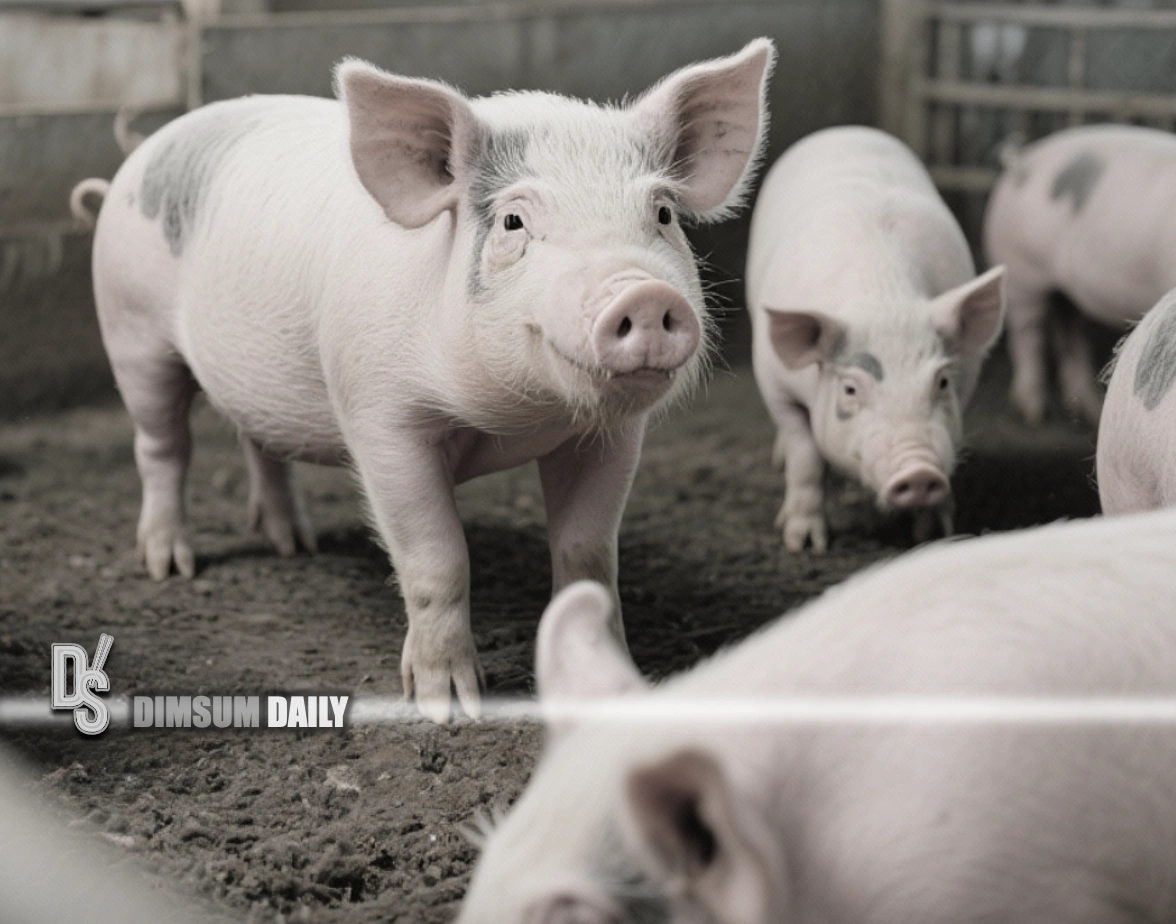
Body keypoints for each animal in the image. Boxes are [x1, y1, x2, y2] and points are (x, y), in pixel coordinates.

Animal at [77, 41, 776, 723]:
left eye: (662, 213)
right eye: (514, 222)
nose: (645, 294)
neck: (515, 419)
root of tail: (139, 158)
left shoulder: (612, 436)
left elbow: (588, 555)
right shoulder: (383, 420)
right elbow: (439, 558)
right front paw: (449, 708)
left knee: (259, 442)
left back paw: (294, 546)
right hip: (131, 333)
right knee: (163, 447)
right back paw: (169, 566)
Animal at [745, 126, 1006, 551]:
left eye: (942, 382)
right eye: (850, 389)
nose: (919, 472)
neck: (884, 301)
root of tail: (846, 129)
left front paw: (934, 536)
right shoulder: (775, 384)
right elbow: (806, 458)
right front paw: (805, 544)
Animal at [984, 124, 1176, 426]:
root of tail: (1021, 161)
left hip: (1064, 291)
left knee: (1070, 336)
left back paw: (1089, 409)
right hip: (1021, 272)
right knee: (1027, 337)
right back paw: (1035, 412)